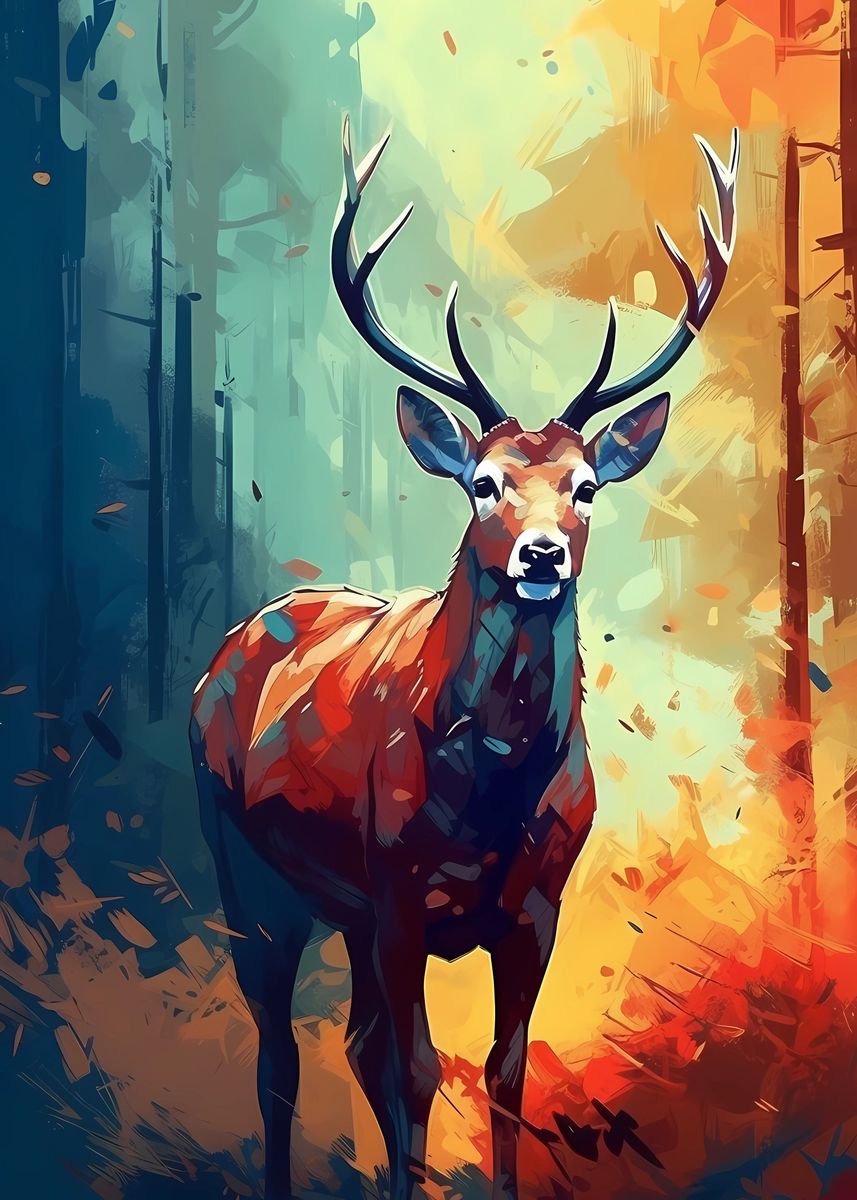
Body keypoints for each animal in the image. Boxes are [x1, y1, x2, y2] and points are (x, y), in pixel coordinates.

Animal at [190, 118, 739, 1200]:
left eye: (583, 486)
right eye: (482, 482)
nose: (541, 555)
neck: (489, 796)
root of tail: (224, 650)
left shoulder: (534, 902)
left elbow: (502, 1074)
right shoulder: (397, 889)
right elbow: (413, 1074)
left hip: (342, 907)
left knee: (349, 1044)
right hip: (246, 865)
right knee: (280, 1057)